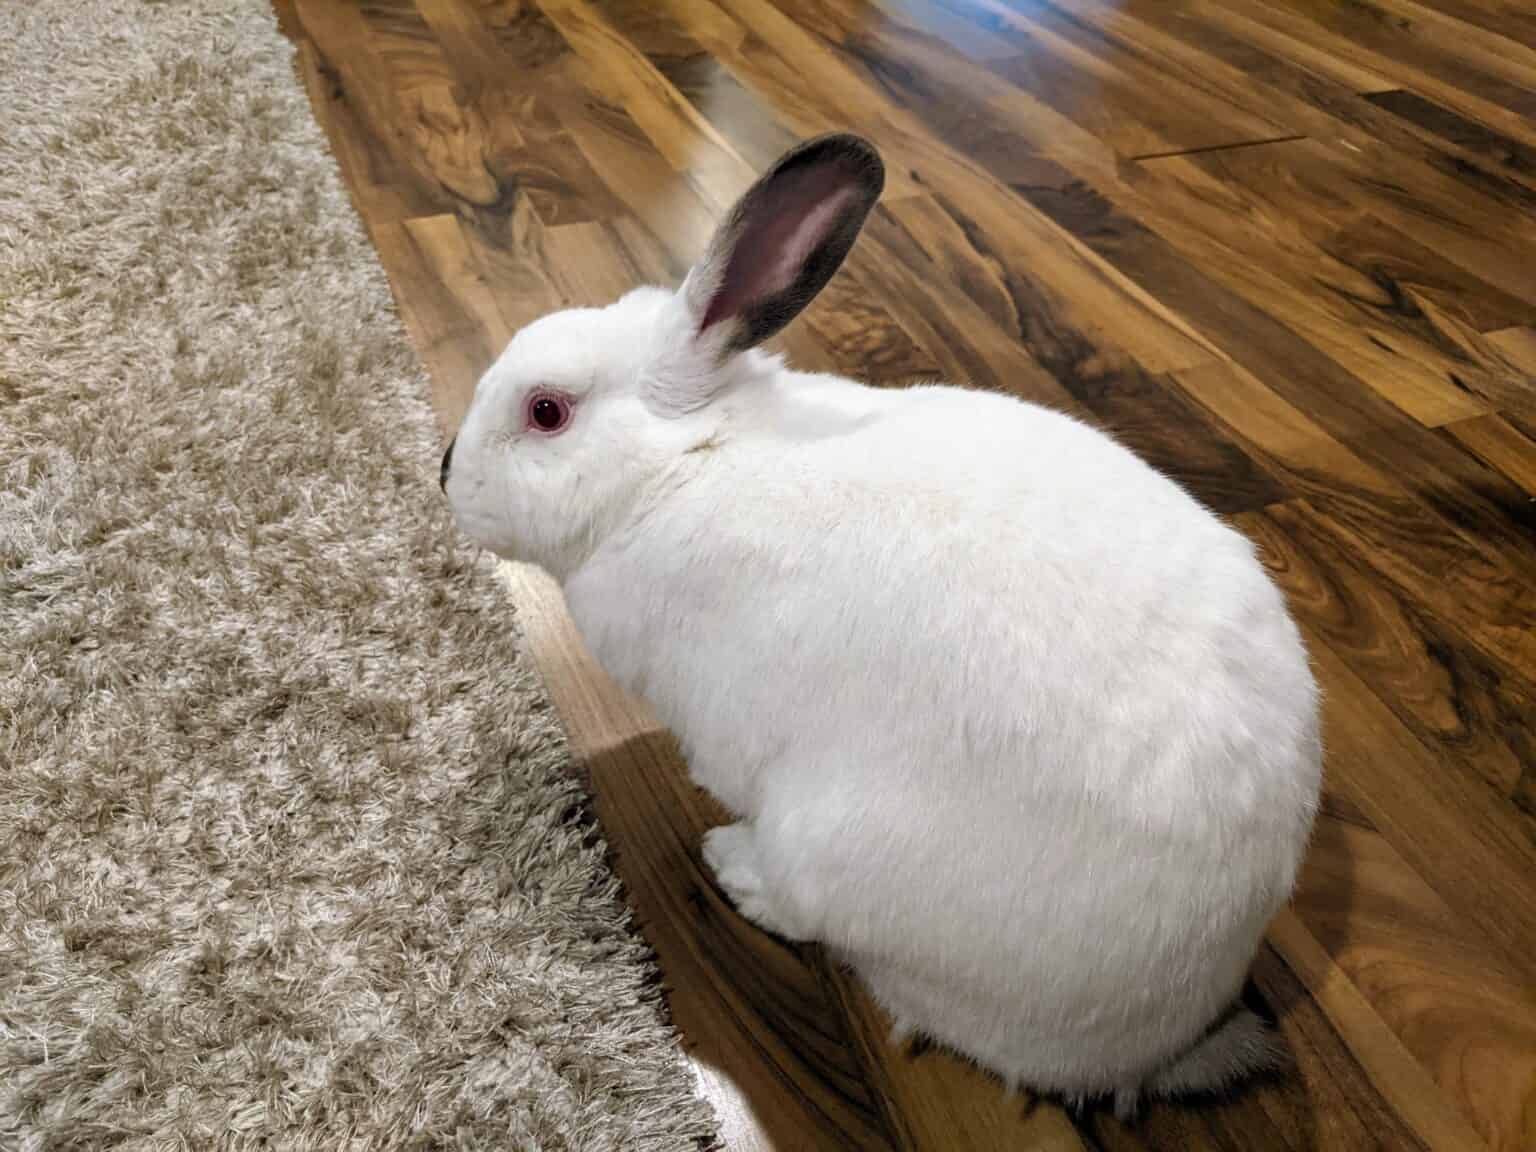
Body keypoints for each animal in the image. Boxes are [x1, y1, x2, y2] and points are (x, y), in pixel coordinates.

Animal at [440, 133, 1322, 1116]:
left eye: (546, 412)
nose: (444, 471)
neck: (680, 464)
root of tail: (1162, 1041)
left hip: (829, 840)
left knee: (804, 903)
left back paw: (731, 863)